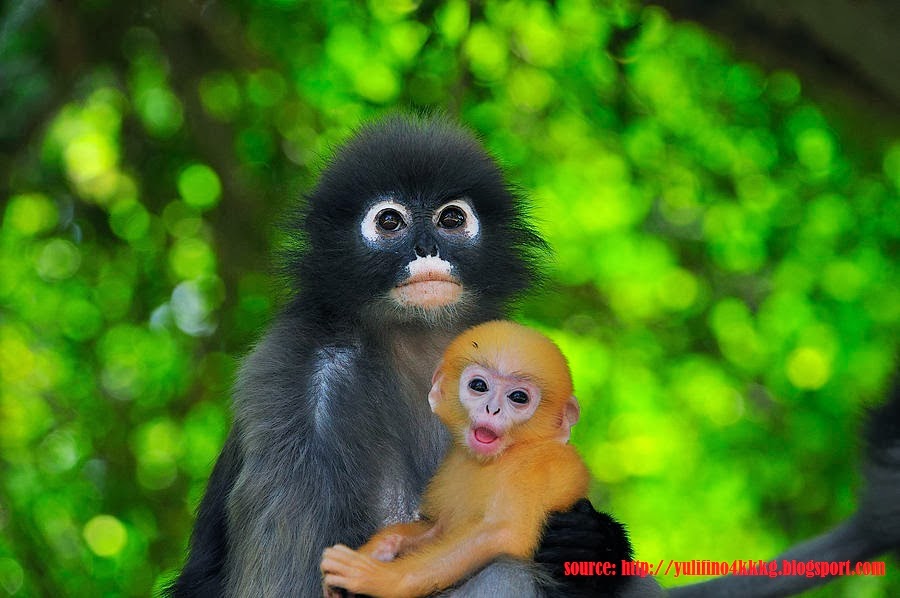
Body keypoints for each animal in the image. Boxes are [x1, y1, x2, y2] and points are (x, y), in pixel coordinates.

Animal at [320, 320, 591, 598]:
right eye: (479, 386)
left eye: (518, 398)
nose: (492, 409)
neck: (499, 457)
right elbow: (437, 529)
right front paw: (381, 546)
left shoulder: (532, 466)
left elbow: (505, 534)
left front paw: (381, 578)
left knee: (508, 571)